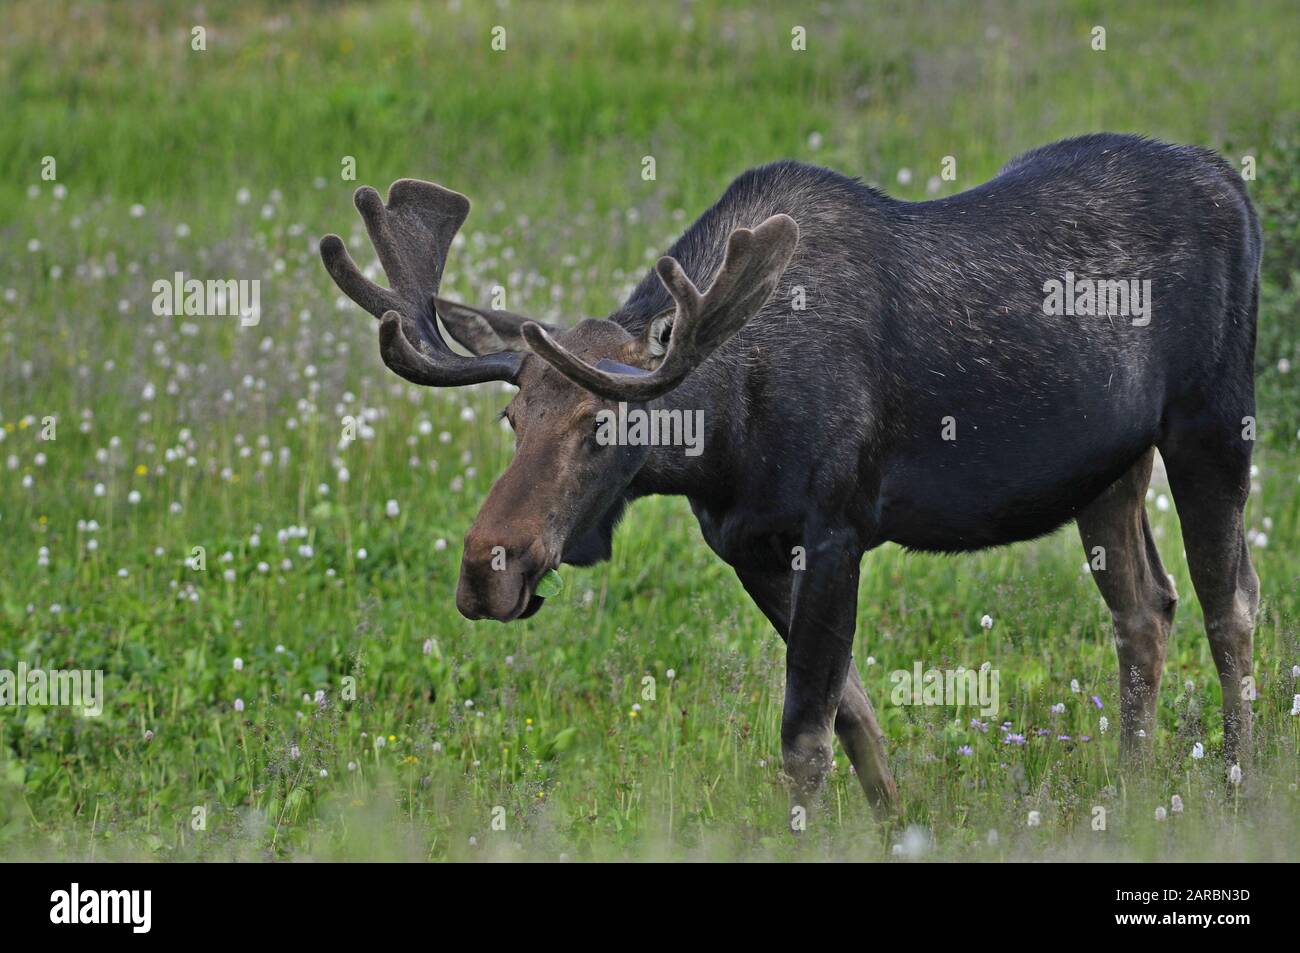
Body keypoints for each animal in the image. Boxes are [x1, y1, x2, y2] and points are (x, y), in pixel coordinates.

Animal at [321, 133, 1261, 814]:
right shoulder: (749, 544)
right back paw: (1133, 789)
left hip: (1212, 421)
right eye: (513, 418)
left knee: (1230, 603)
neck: (721, 437)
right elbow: (853, 714)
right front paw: (895, 824)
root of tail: (1236, 182)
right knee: (1146, 608)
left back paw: (1238, 782)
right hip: (1108, 468)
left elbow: (803, 735)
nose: (488, 566)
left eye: (603, 426)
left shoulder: (836, 527)